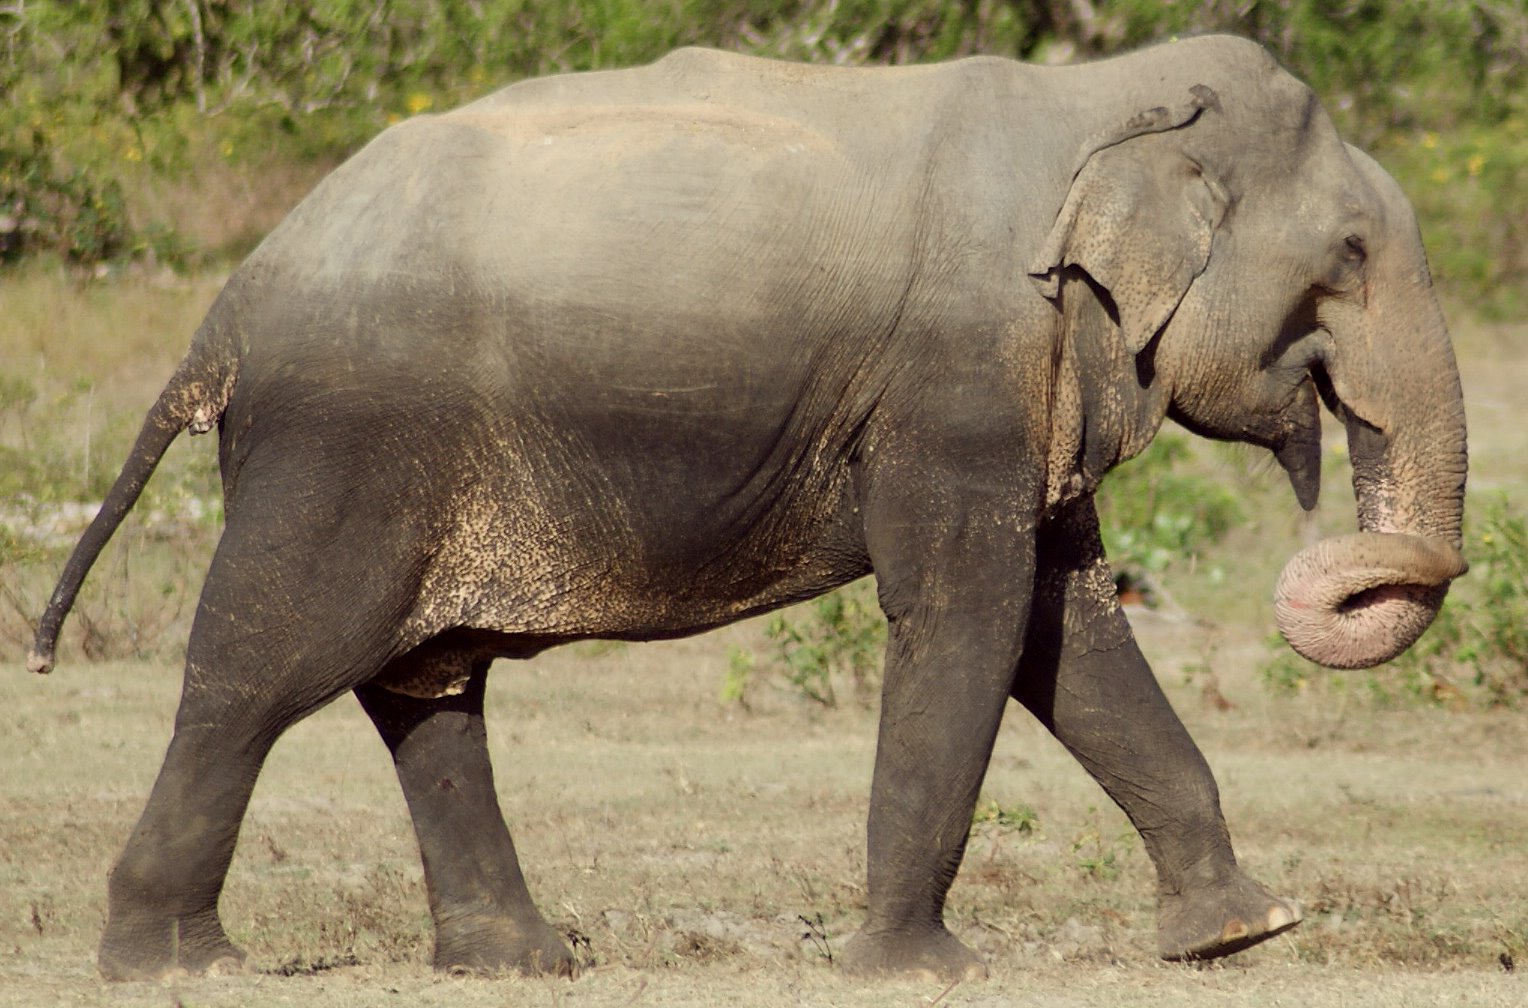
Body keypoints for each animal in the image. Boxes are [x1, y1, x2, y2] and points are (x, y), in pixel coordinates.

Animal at [30, 34, 1467, 982]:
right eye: (1349, 256)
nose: (1332, 548)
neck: (1106, 98)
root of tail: (232, 302)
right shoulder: (958, 380)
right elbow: (971, 618)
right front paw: (919, 971)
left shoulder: (1030, 379)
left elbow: (1069, 632)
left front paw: (1241, 931)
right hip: (348, 445)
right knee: (269, 668)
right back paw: (180, 966)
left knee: (422, 681)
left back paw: (522, 962)